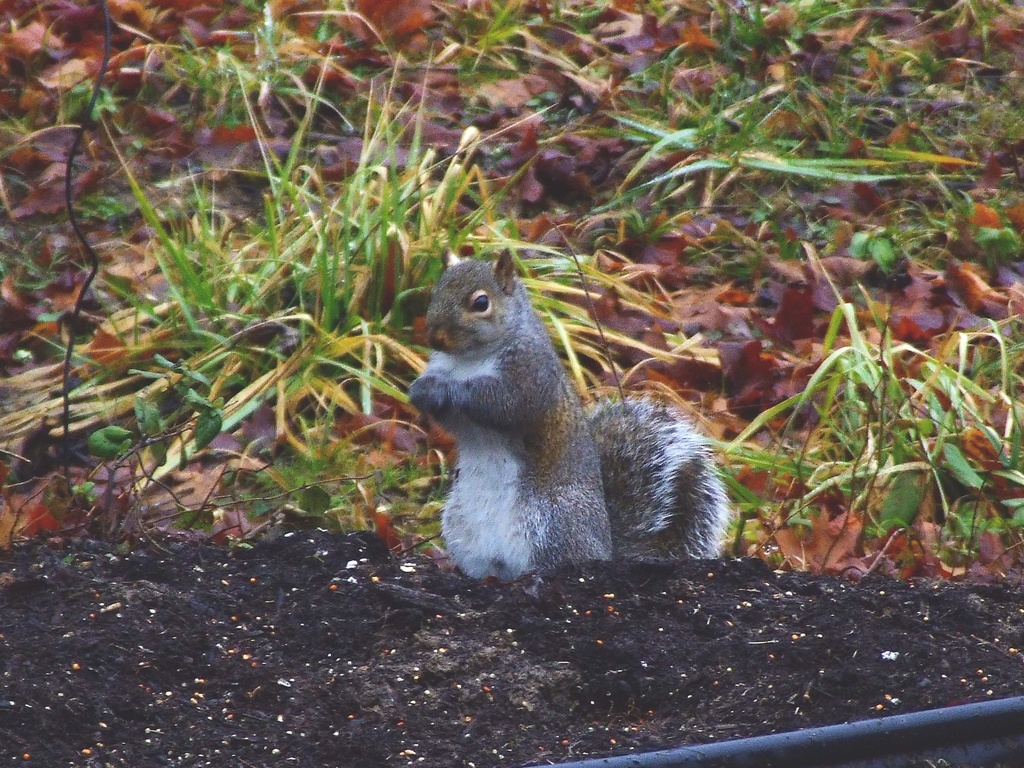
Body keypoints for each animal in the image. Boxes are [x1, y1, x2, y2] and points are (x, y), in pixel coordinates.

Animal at [409, 251, 731, 580]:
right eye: (437, 291)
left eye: (481, 303)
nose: (435, 338)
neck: (468, 361)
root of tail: (606, 551)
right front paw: (420, 389)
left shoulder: (531, 374)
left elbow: (506, 404)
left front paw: (449, 390)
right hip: (462, 528)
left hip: (552, 524)